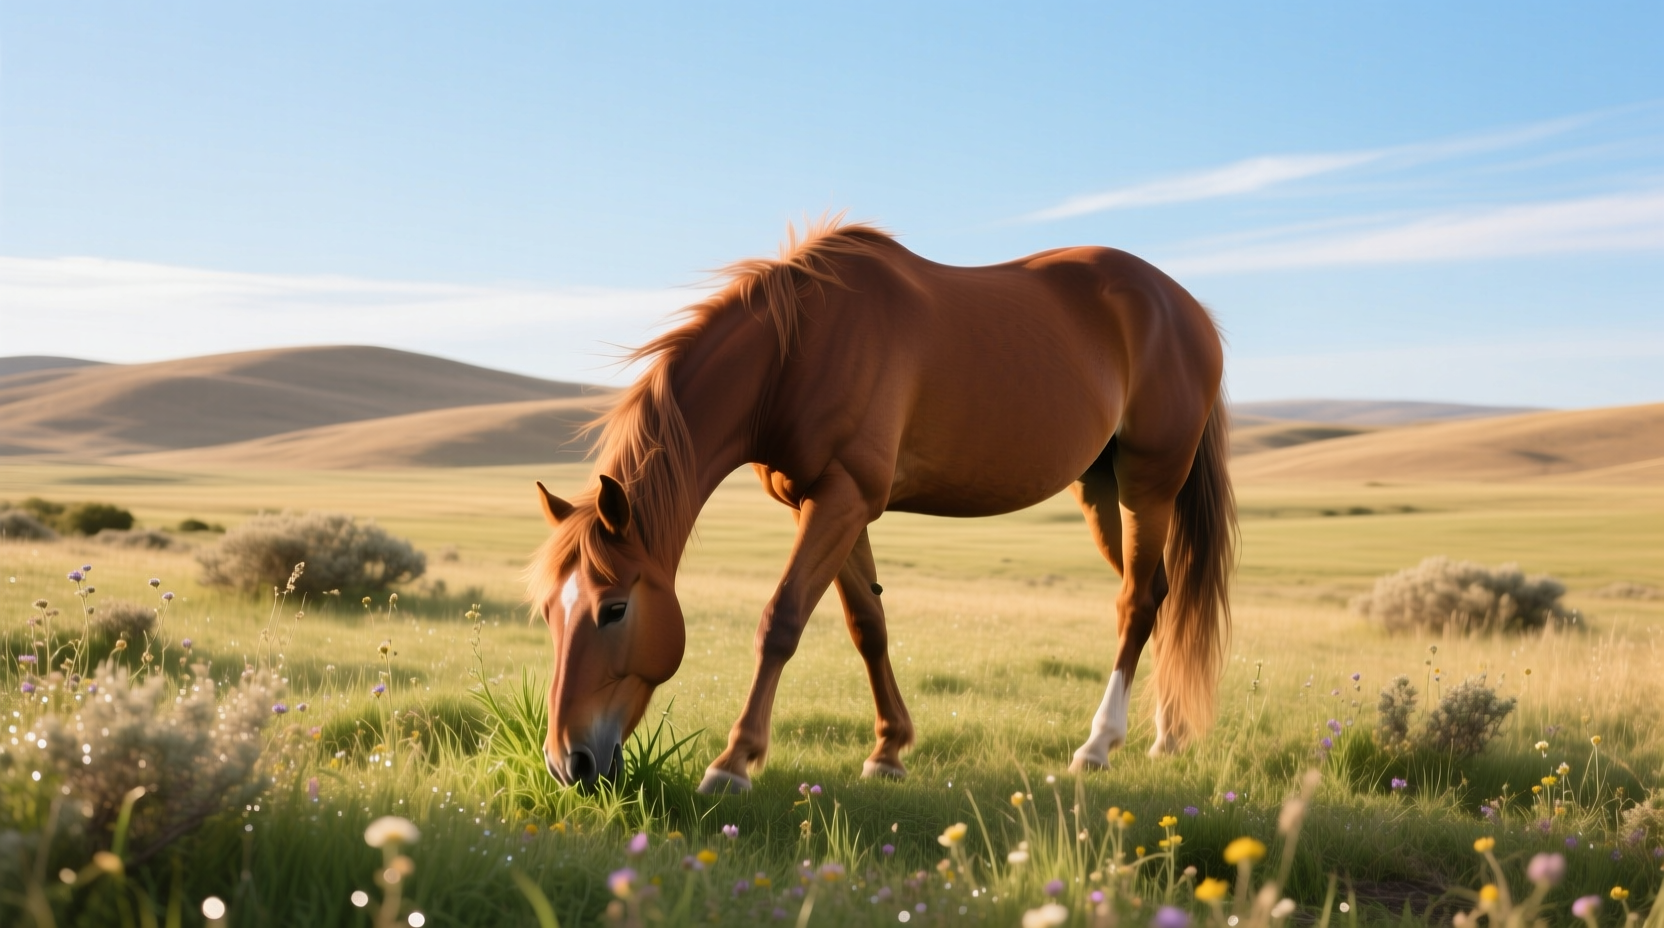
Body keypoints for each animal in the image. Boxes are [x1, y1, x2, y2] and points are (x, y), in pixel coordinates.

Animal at [529, 219, 1235, 793]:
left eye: (614, 609)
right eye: (548, 612)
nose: (568, 764)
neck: (796, 351)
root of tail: (1186, 309)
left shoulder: (844, 496)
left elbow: (781, 620)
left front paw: (733, 763)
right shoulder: (824, 503)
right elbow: (867, 624)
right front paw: (889, 751)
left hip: (1148, 485)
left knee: (1137, 601)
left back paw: (1098, 745)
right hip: (1100, 488)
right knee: (1159, 591)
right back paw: (1167, 734)